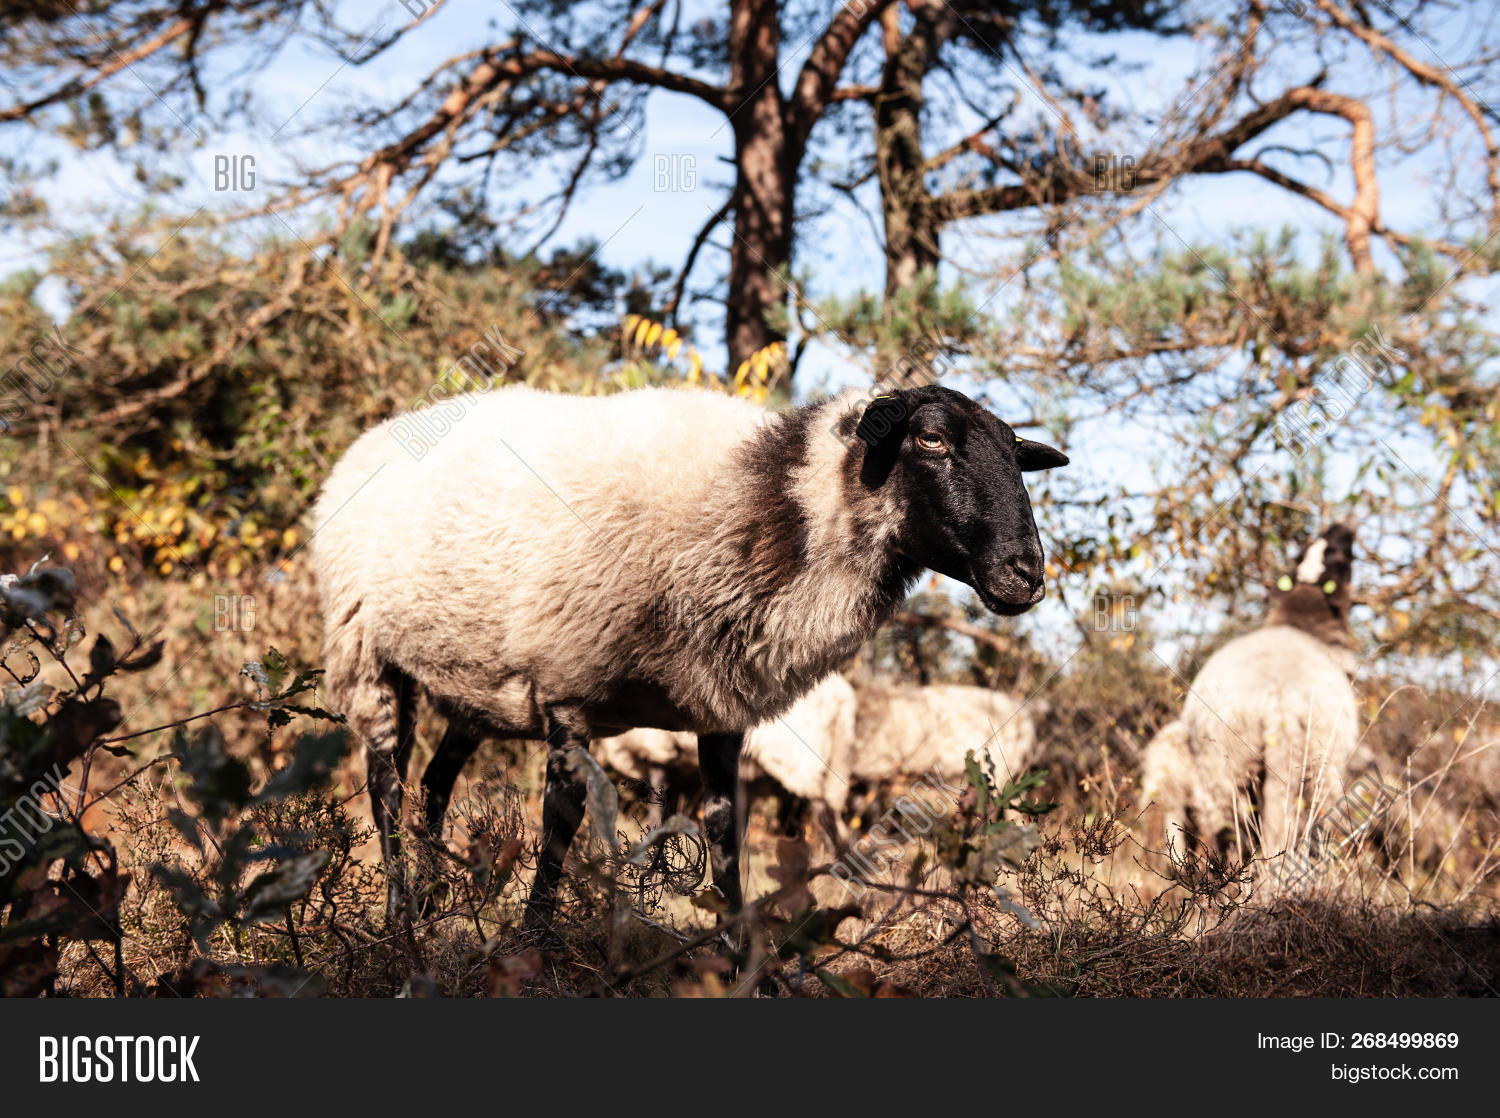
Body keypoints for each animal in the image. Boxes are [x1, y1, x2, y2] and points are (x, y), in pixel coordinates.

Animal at [312, 383, 1068, 927]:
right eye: (930, 438)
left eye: (1016, 456)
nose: (1026, 573)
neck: (771, 506)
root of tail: (375, 435)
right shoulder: (568, 684)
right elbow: (561, 820)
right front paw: (532, 945)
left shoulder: (721, 704)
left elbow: (726, 835)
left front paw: (742, 962)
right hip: (368, 653)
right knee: (388, 785)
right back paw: (401, 919)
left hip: (474, 686)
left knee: (437, 782)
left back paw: (435, 900)